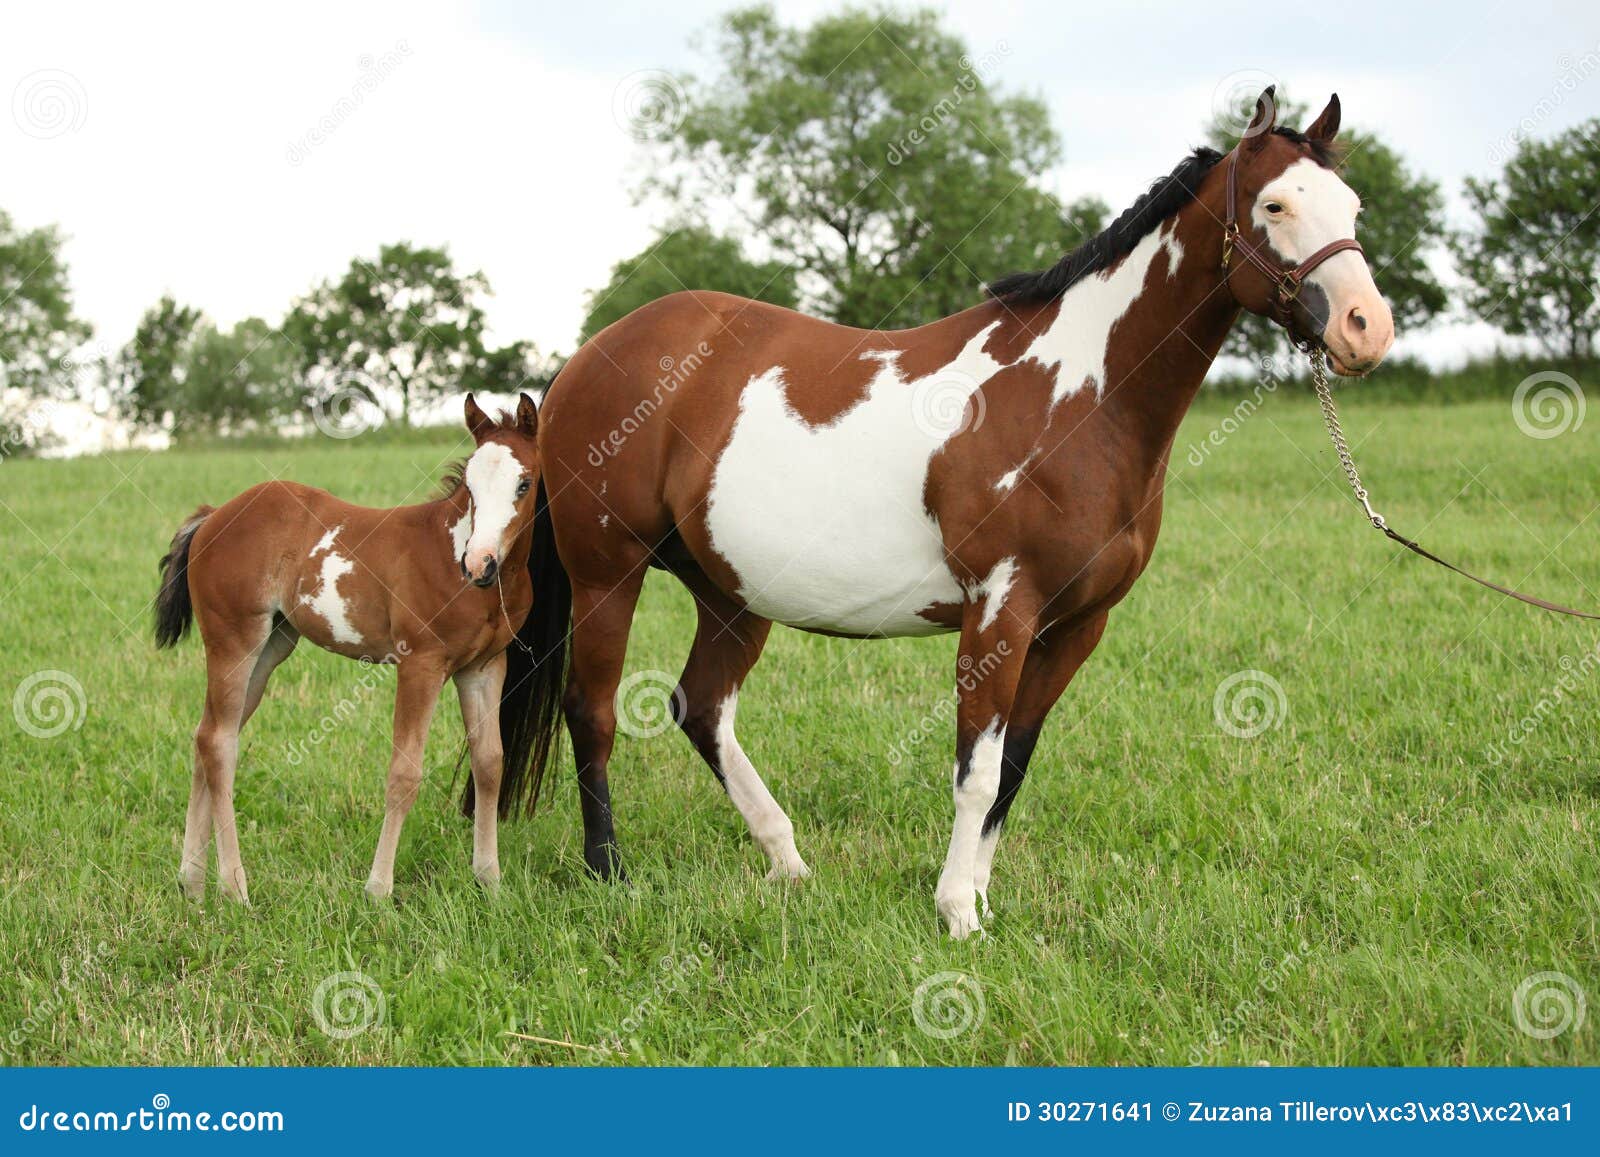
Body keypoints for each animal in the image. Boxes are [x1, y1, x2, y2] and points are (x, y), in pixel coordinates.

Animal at [154, 394, 545, 904]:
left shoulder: (484, 668)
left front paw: (490, 882)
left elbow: (490, 765)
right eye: (470, 486)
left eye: (524, 483)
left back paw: (193, 881)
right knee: (219, 746)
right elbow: (404, 774)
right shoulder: (420, 665)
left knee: (208, 736)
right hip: (234, 640)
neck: (452, 553)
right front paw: (378, 890)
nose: (479, 564)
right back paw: (235, 887)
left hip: (270, 648)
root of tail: (213, 515)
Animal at [493, 89, 1396, 938]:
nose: (1367, 328)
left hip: (731, 588)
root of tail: (586, 357)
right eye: (1274, 206)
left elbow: (1015, 768)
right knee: (594, 710)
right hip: (608, 573)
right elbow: (978, 768)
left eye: (1351, 206)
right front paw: (957, 910)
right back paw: (608, 870)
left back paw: (787, 859)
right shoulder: (1000, 610)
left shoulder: (1077, 625)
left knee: (702, 706)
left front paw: (982, 898)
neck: (1074, 396)